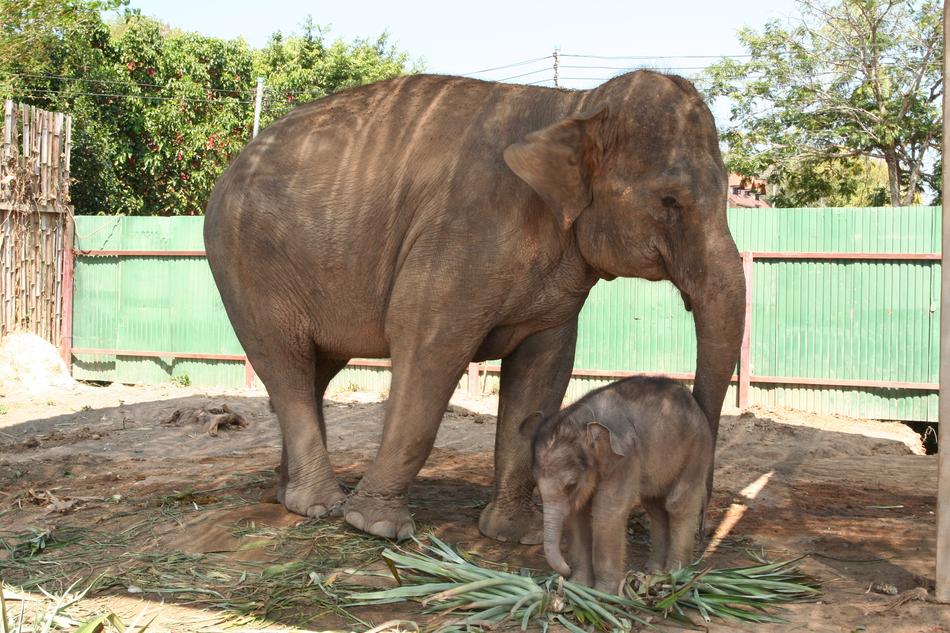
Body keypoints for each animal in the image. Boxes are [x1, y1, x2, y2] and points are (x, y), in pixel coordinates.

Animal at [203, 70, 745, 543]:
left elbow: (544, 372)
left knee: (316, 369)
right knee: (286, 365)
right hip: (247, 268)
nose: (699, 534)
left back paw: (290, 495)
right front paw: (376, 527)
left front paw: (514, 535)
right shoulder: (459, 235)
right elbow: (427, 348)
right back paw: (319, 505)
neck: (574, 106)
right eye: (670, 201)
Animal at [519, 376, 713, 594]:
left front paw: (603, 593)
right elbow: (577, 513)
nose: (565, 572)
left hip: (697, 449)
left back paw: (675, 575)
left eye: (571, 484)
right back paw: (655, 570)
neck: (581, 421)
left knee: (678, 503)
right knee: (654, 505)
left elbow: (608, 511)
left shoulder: (625, 457)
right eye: (535, 480)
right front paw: (579, 585)